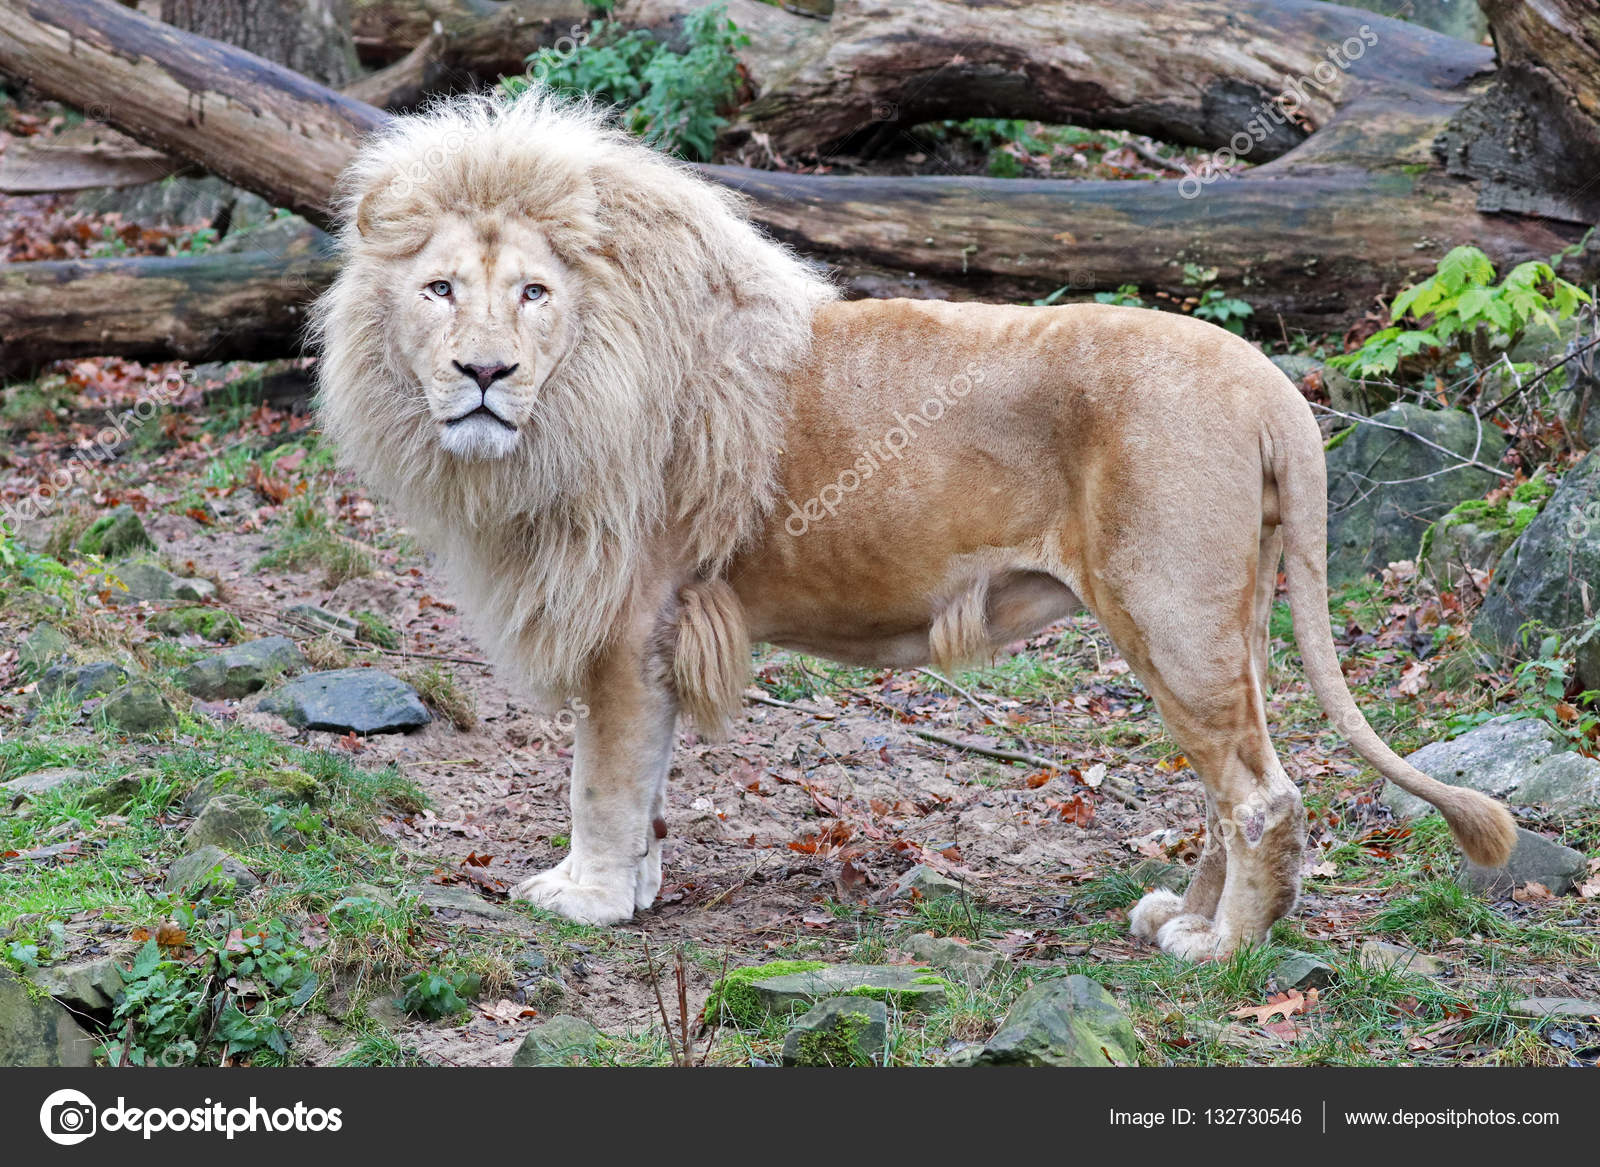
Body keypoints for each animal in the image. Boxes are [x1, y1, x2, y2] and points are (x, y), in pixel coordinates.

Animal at [313, 92, 1515, 959]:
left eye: (531, 293)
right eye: (438, 290)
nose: (482, 374)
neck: (577, 389)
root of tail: (1271, 382)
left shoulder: (631, 615)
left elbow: (601, 777)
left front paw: (587, 898)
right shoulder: (654, 628)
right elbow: (644, 780)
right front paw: (639, 888)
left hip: (1168, 613)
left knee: (1263, 797)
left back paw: (1219, 951)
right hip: (1227, 622)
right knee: (1228, 787)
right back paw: (1183, 915)